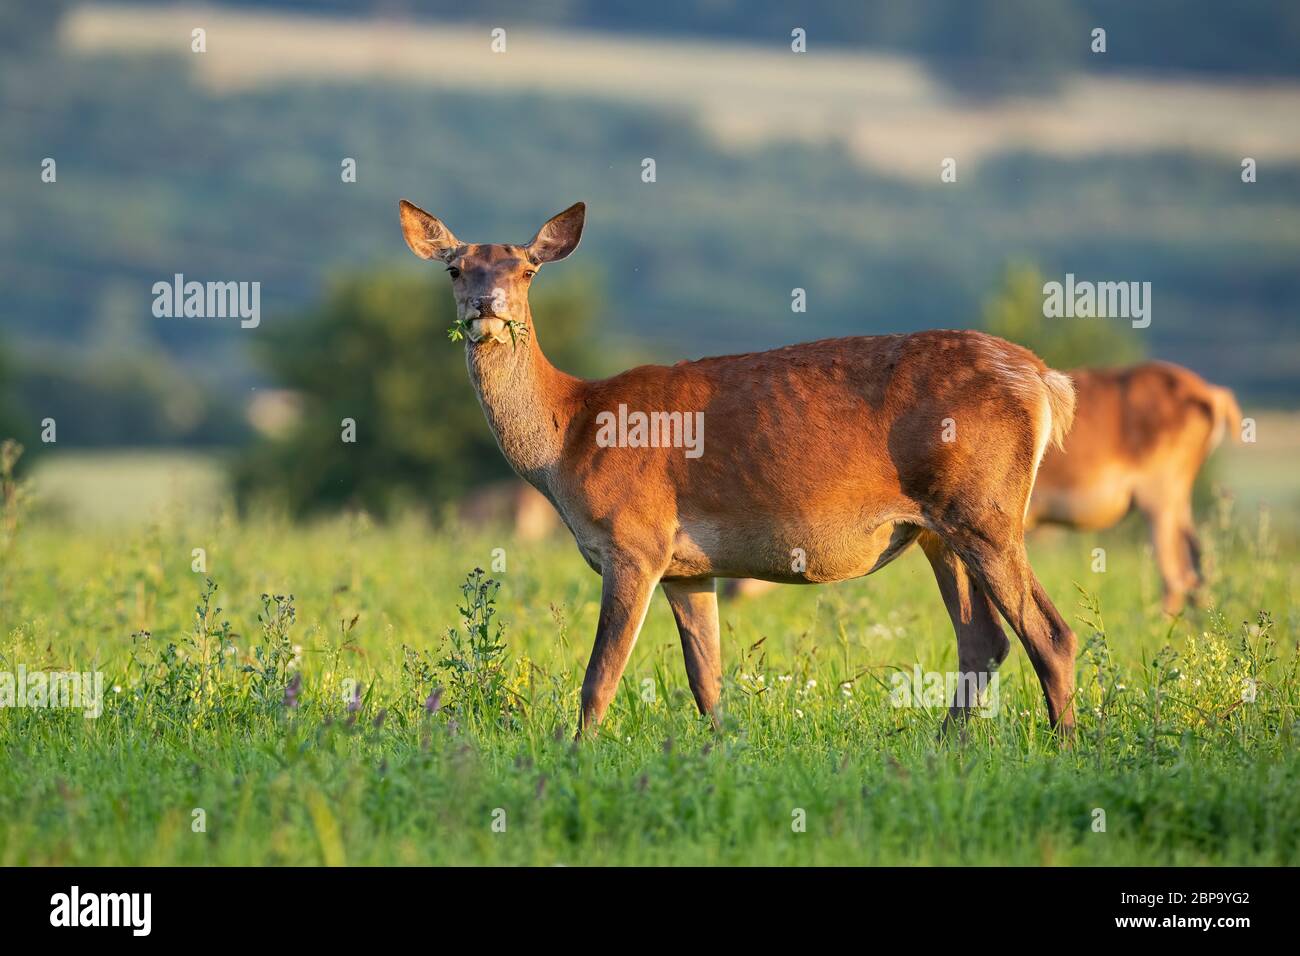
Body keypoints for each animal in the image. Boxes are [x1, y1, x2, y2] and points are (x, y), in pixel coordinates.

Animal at [399, 199, 1080, 736]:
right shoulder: (688, 569)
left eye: (528, 269)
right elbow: (707, 682)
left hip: (984, 508)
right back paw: (947, 746)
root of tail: (1046, 380)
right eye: (456, 267)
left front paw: (576, 753)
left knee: (1049, 634)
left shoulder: (634, 540)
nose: (485, 304)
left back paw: (1064, 746)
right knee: (982, 642)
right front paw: (722, 749)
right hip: (938, 529)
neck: (568, 435)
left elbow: (599, 678)